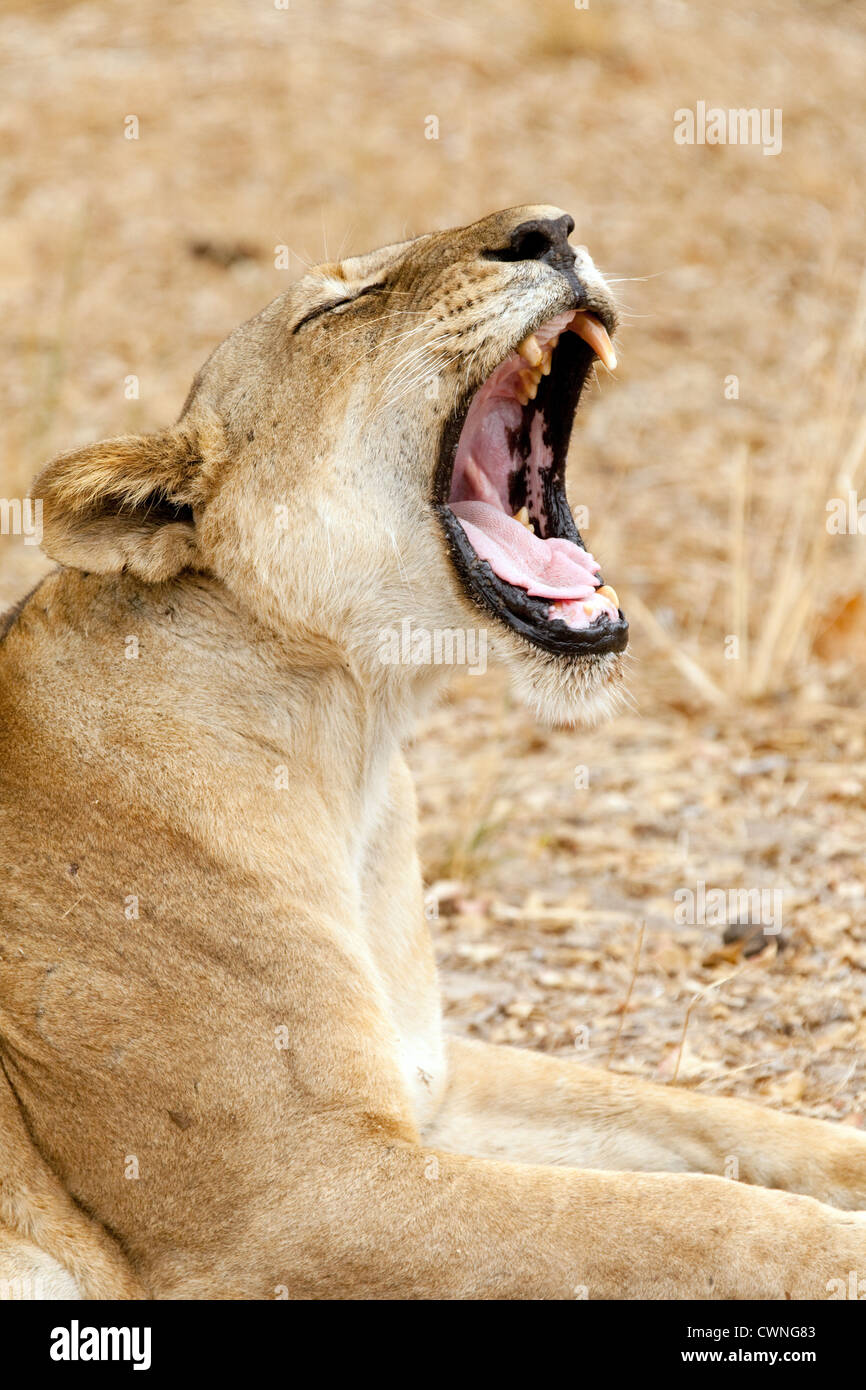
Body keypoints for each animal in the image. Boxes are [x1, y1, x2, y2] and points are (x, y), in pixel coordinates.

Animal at [0, 206, 864, 1300]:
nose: (549, 227)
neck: (354, 737)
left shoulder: (431, 1079)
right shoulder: (294, 1200)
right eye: (339, 306)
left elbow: (695, 1117)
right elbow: (680, 1216)